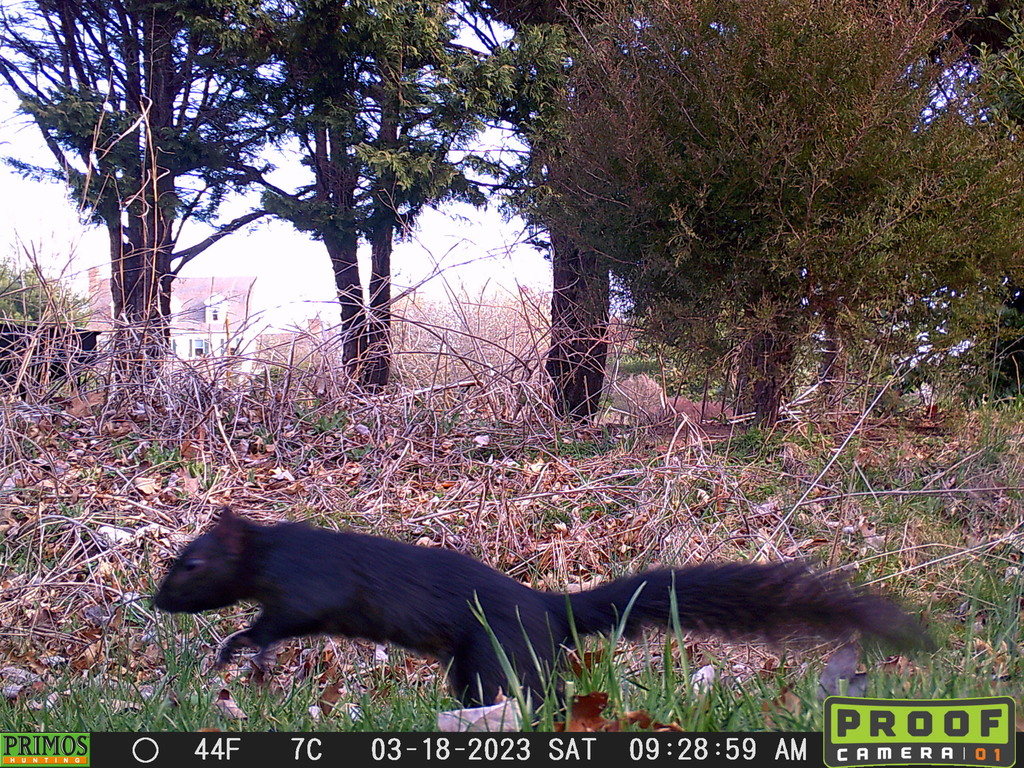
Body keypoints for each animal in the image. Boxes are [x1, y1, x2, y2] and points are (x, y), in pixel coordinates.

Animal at [154, 506, 931, 707]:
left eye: (189, 563)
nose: (157, 599)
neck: (272, 548)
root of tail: (550, 609)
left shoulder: (308, 585)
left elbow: (282, 619)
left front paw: (238, 648)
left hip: (494, 657)